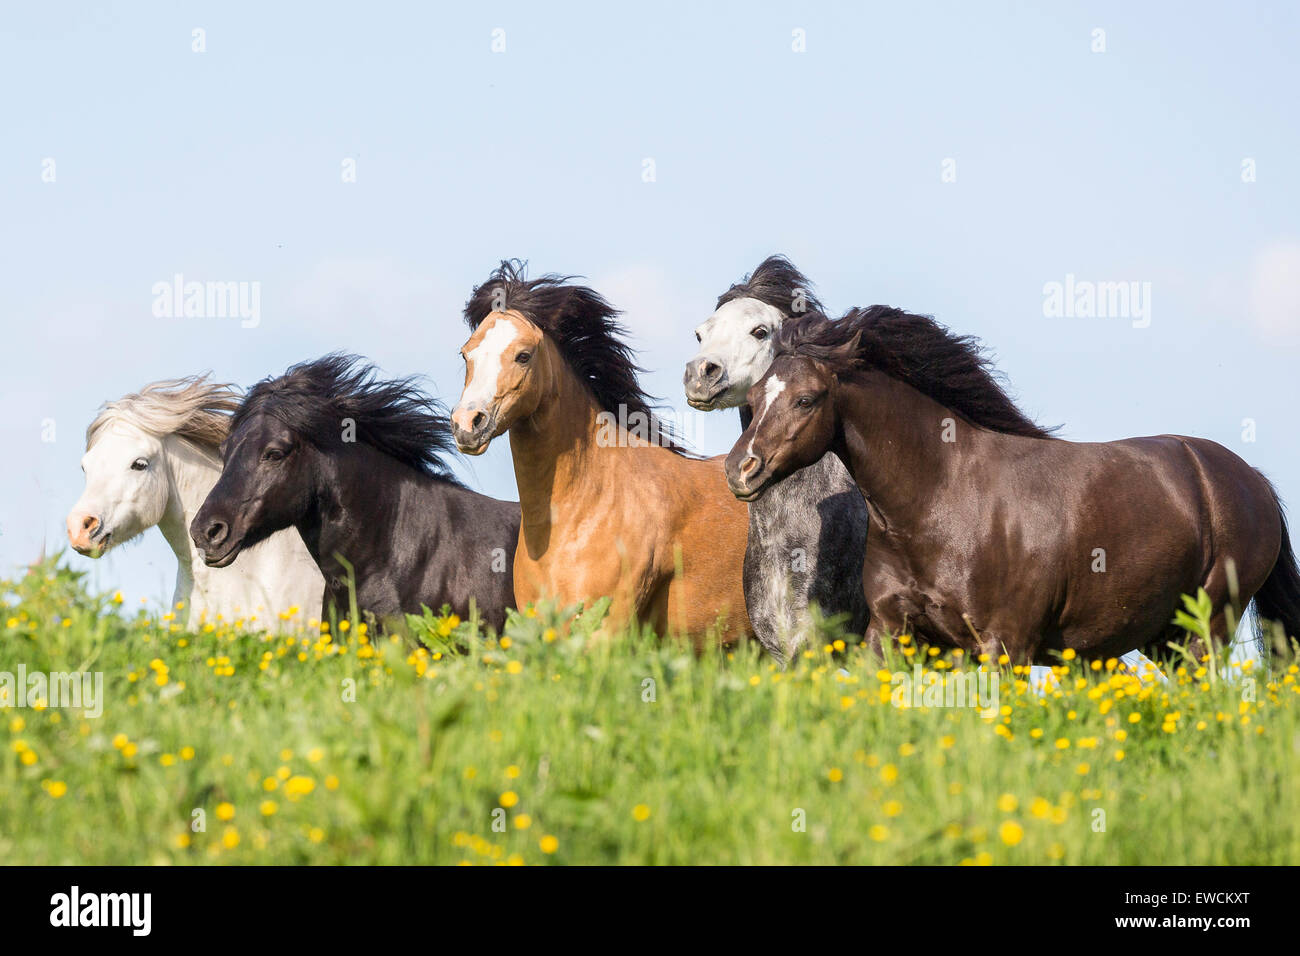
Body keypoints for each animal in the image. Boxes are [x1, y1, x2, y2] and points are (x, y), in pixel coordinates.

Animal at [724, 308, 1300, 664]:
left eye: (806, 399)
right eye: (753, 399)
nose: (739, 470)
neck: (942, 501)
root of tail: (1253, 482)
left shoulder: (1005, 645)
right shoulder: (890, 632)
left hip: (1208, 627)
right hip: (1165, 639)